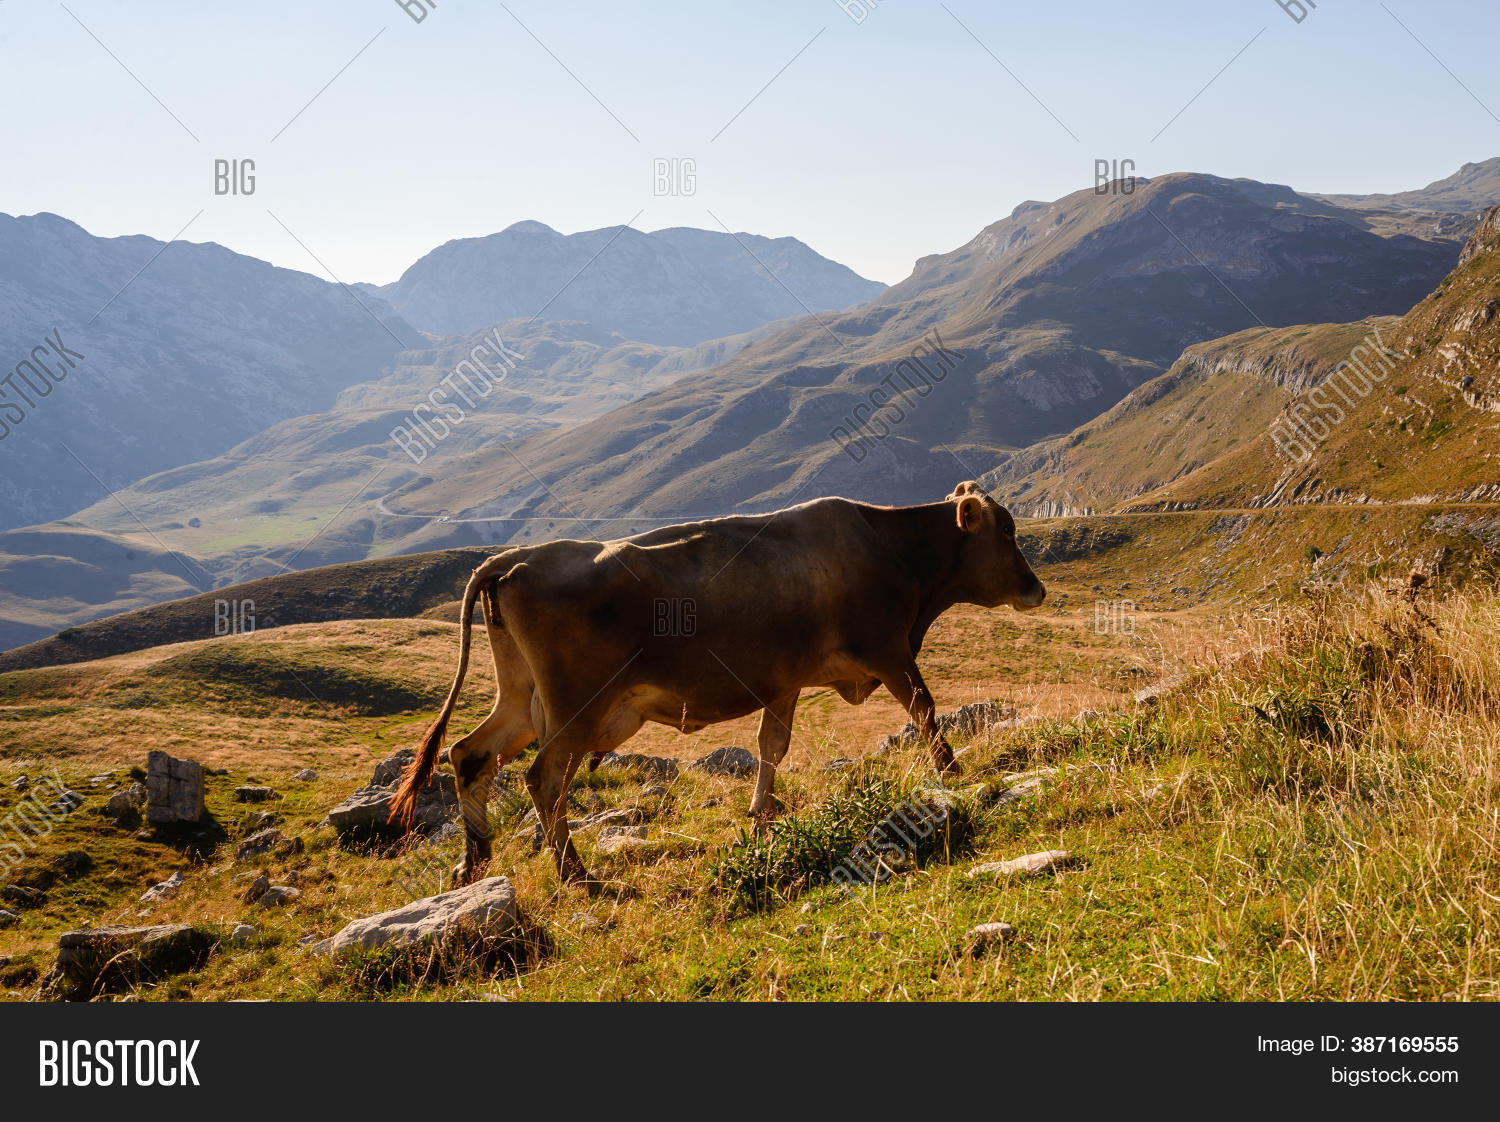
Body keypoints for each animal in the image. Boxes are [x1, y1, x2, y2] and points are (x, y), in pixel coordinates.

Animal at [390, 481, 1045, 888]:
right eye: (1008, 530)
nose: (1036, 588)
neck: (891, 550)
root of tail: (514, 558)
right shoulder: (888, 652)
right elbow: (926, 710)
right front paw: (954, 773)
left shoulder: (784, 680)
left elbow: (771, 746)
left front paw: (760, 815)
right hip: (575, 706)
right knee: (543, 778)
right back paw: (576, 874)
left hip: (521, 700)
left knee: (470, 755)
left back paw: (473, 863)